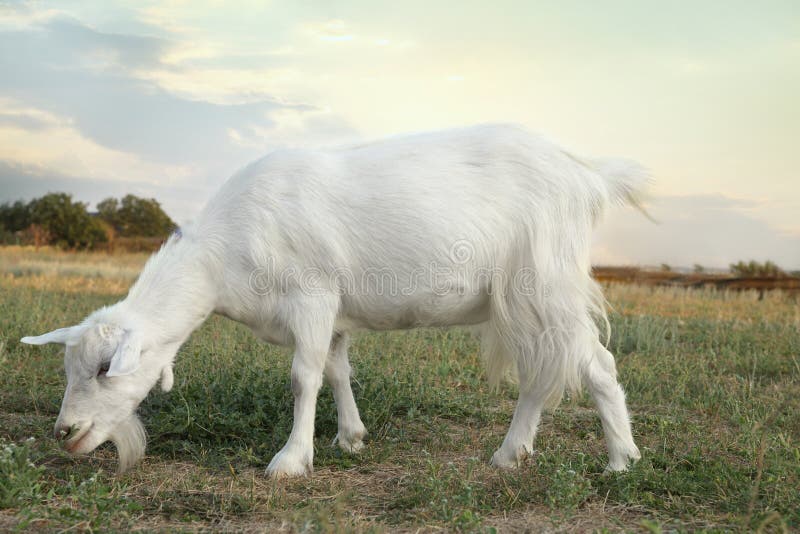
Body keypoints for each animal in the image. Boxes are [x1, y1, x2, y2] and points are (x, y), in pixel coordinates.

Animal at [22, 124, 645, 477]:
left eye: (105, 368)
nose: (65, 434)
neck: (224, 253)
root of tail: (588, 177)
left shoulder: (312, 297)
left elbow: (304, 377)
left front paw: (291, 461)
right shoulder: (336, 315)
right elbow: (338, 370)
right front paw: (350, 438)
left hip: (545, 282)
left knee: (596, 364)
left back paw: (621, 461)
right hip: (517, 303)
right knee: (542, 374)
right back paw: (510, 454)